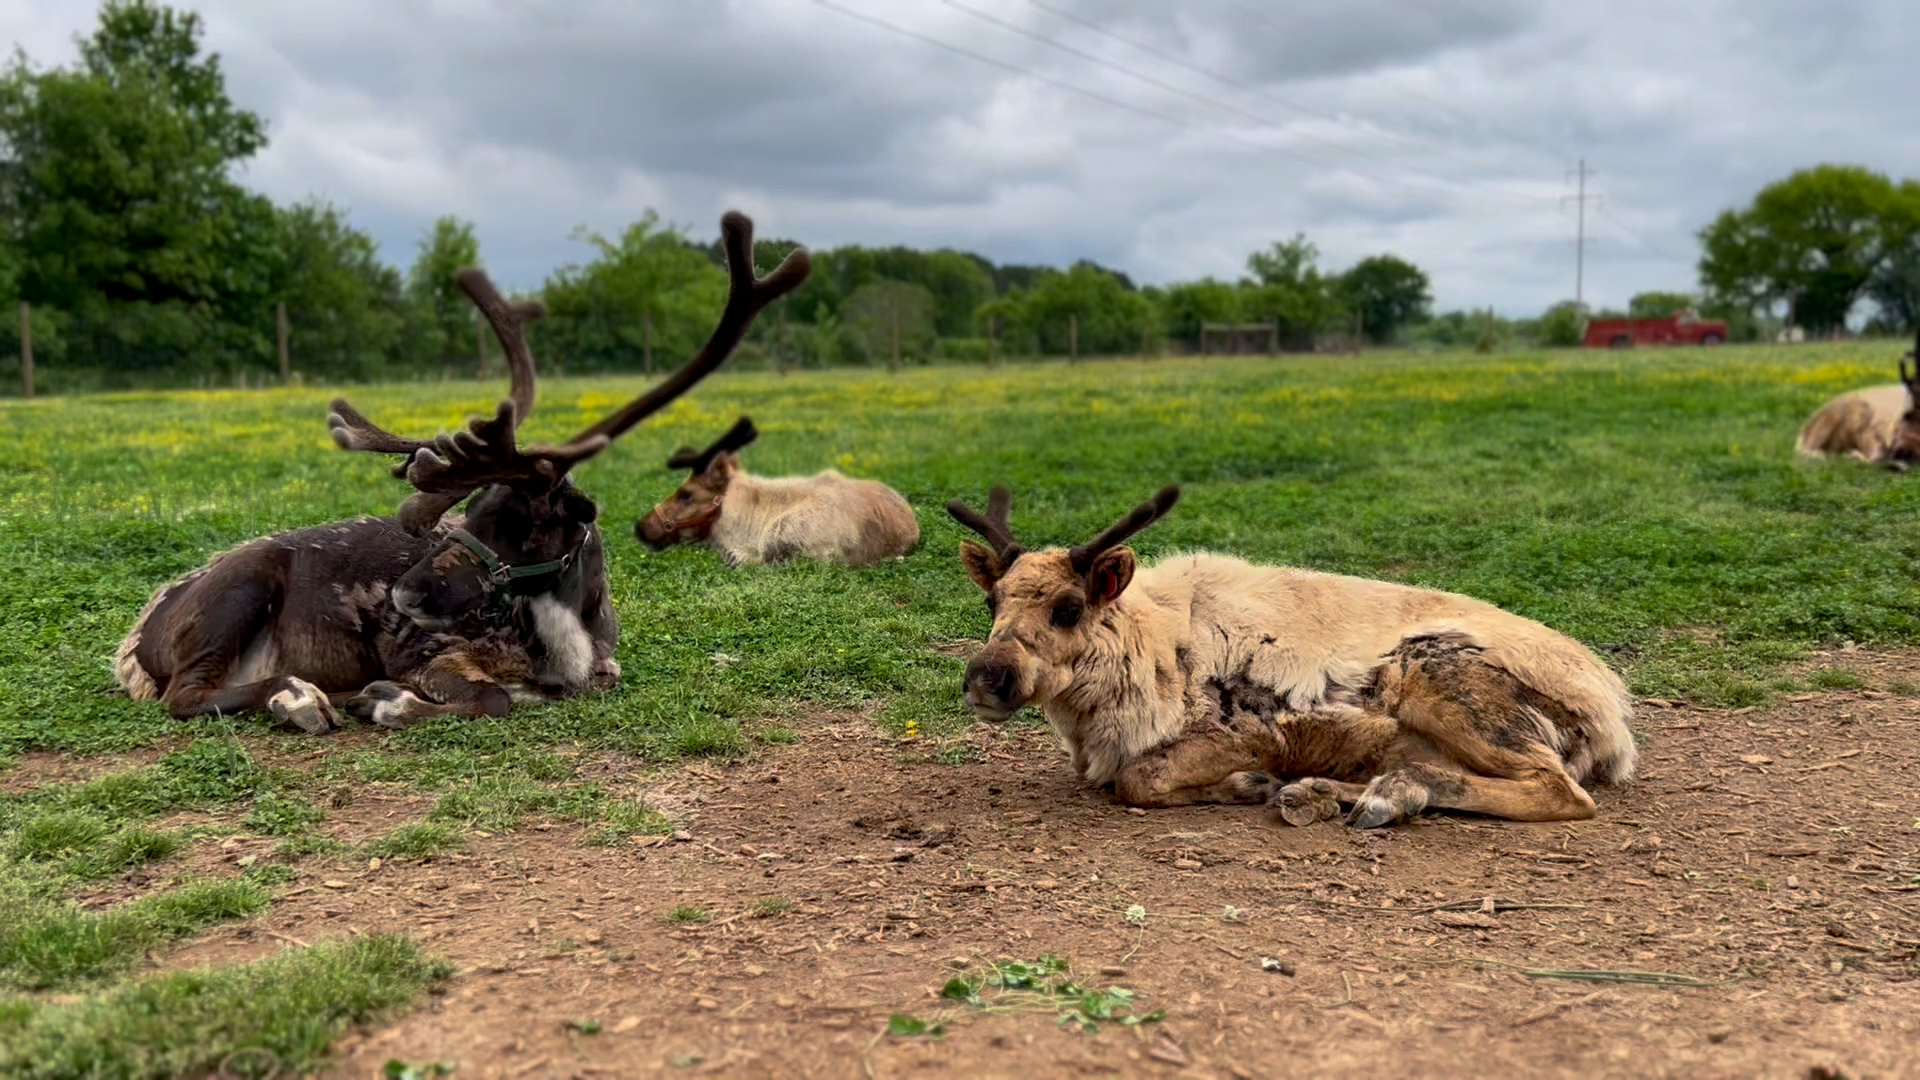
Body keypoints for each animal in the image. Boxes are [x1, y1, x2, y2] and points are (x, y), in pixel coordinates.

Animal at [115, 210, 810, 733]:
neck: (567, 636)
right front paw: (383, 700)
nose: (404, 595)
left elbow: (586, 683)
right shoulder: (422, 651)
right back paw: (301, 698)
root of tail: (137, 639)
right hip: (239, 592)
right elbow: (492, 697)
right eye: (470, 511)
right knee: (185, 695)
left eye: (528, 523)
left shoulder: (601, 665)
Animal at [945, 484, 1637, 829]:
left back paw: (1384, 792)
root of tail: (1614, 720)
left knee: (1562, 792)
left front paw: (1246, 784)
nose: (985, 677)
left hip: (1438, 677)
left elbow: (1138, 780)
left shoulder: (1248, 730)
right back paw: (1329, 794)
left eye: (1068, 607)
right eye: (991, 600)